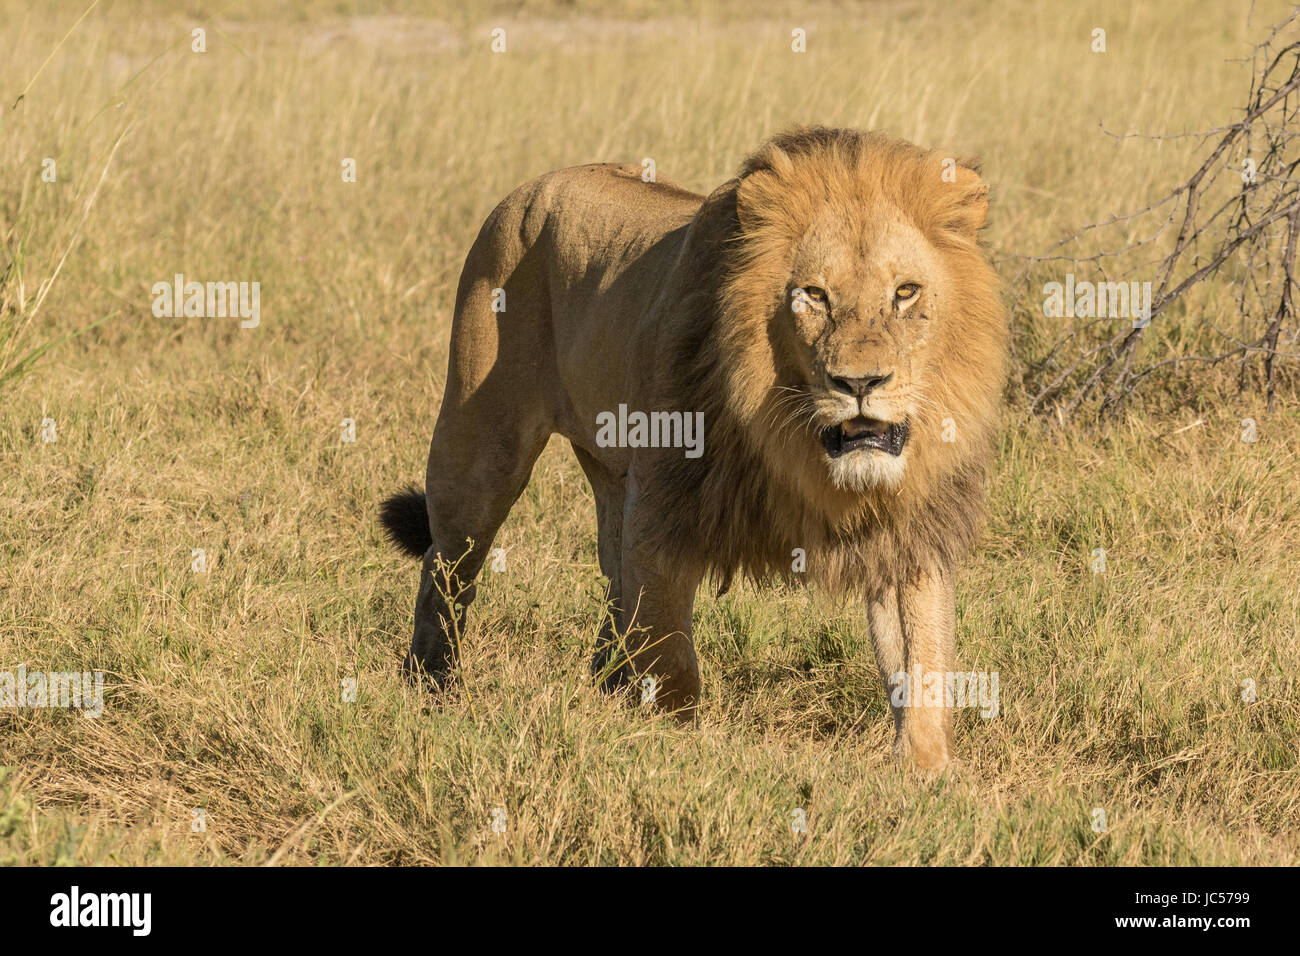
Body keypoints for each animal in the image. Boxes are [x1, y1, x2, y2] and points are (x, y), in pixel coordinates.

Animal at [380, 126, 1007, 770]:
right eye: (813, 295)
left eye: (906, 293)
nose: (859, 384)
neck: (797, 449)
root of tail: (528, 189)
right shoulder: (663, 506)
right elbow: (670, 654)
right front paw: (671, 754)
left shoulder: (911, 529)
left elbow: (922, 656)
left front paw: (925, 773)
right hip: (480, 445)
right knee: (447, 567)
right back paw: (433, 684)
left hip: (611, 472)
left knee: (612, 579)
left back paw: (604, 684)